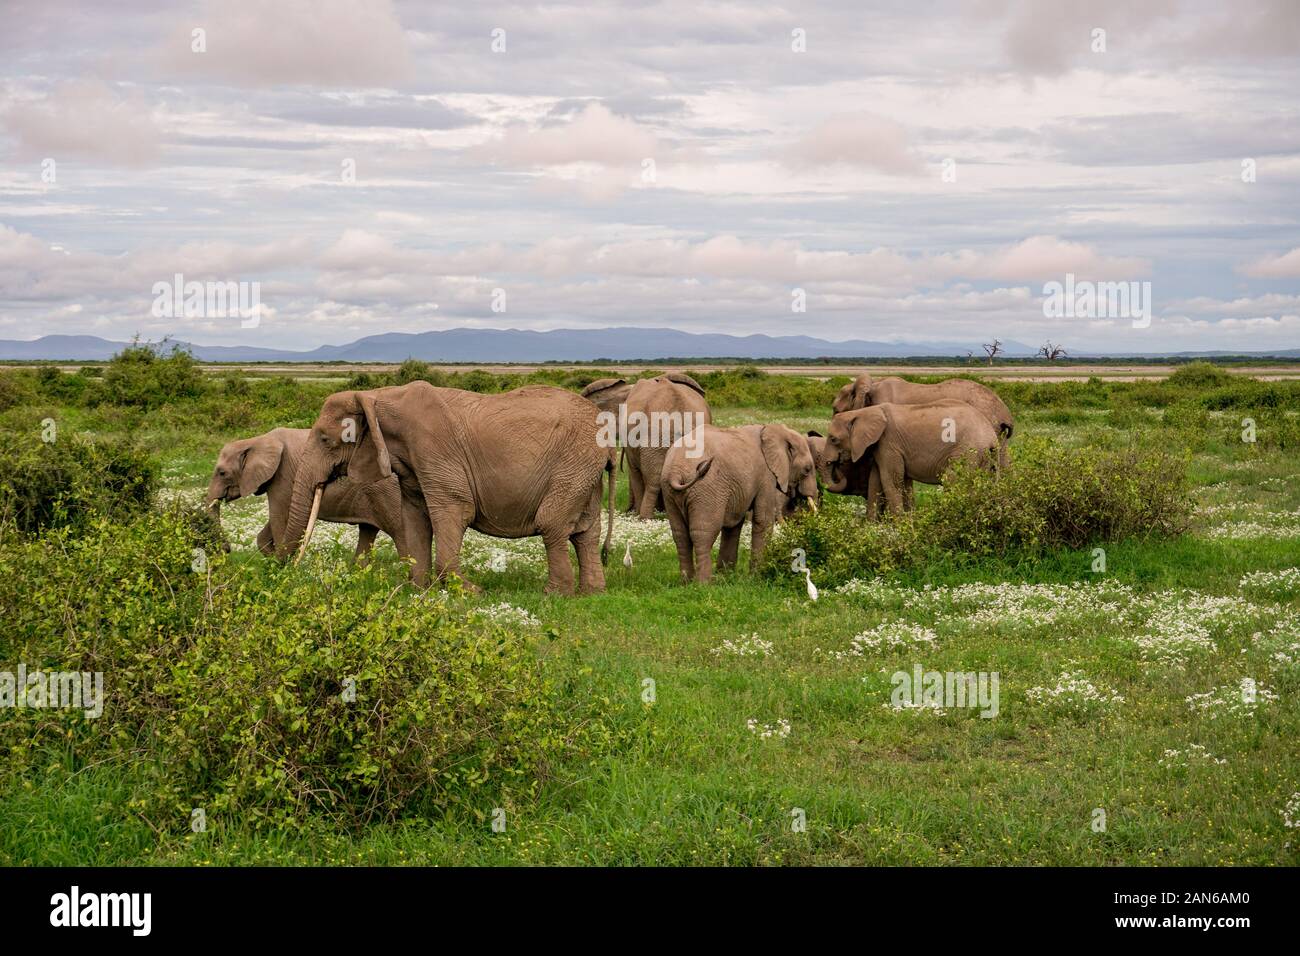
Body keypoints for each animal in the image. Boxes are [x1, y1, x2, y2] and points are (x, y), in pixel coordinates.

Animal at [206, 427, 407, 560]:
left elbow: (279, 517)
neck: (255, 441)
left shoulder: (282, 475)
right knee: (367, 531)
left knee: (399, 532)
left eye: (222, 473)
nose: (226, 549)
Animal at [276, 383, 615, 595]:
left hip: (573, 463)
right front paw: (416, 590)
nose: (284, 570)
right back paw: (592, 592)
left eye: (324, 439)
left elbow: (454, 510)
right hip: (585, 468)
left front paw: (469, 592)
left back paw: (555, 594)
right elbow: (415, 518)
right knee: (586, 531)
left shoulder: (434, 449)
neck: (377, 398)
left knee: (553, 524)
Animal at [662, 423, 818, 583]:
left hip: (669, 492)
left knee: (680, 535)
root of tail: (675, 472)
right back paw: (704, 583)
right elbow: (763, 520)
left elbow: (734, 525)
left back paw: (687, 582)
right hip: (705, 490)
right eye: (807, 469)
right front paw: (757, 577)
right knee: (704, 533)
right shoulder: (766, 476)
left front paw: (727, 576)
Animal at [824, 401, 999, 516]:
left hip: (968, 452)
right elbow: (878, 480)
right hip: (985, 456)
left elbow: (891, 480)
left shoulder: (889, 443)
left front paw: (899, 526)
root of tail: (991, 435)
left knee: (953, 482)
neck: (863, 412)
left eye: (833, 439)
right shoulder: (882, 446)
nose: (836, 463)